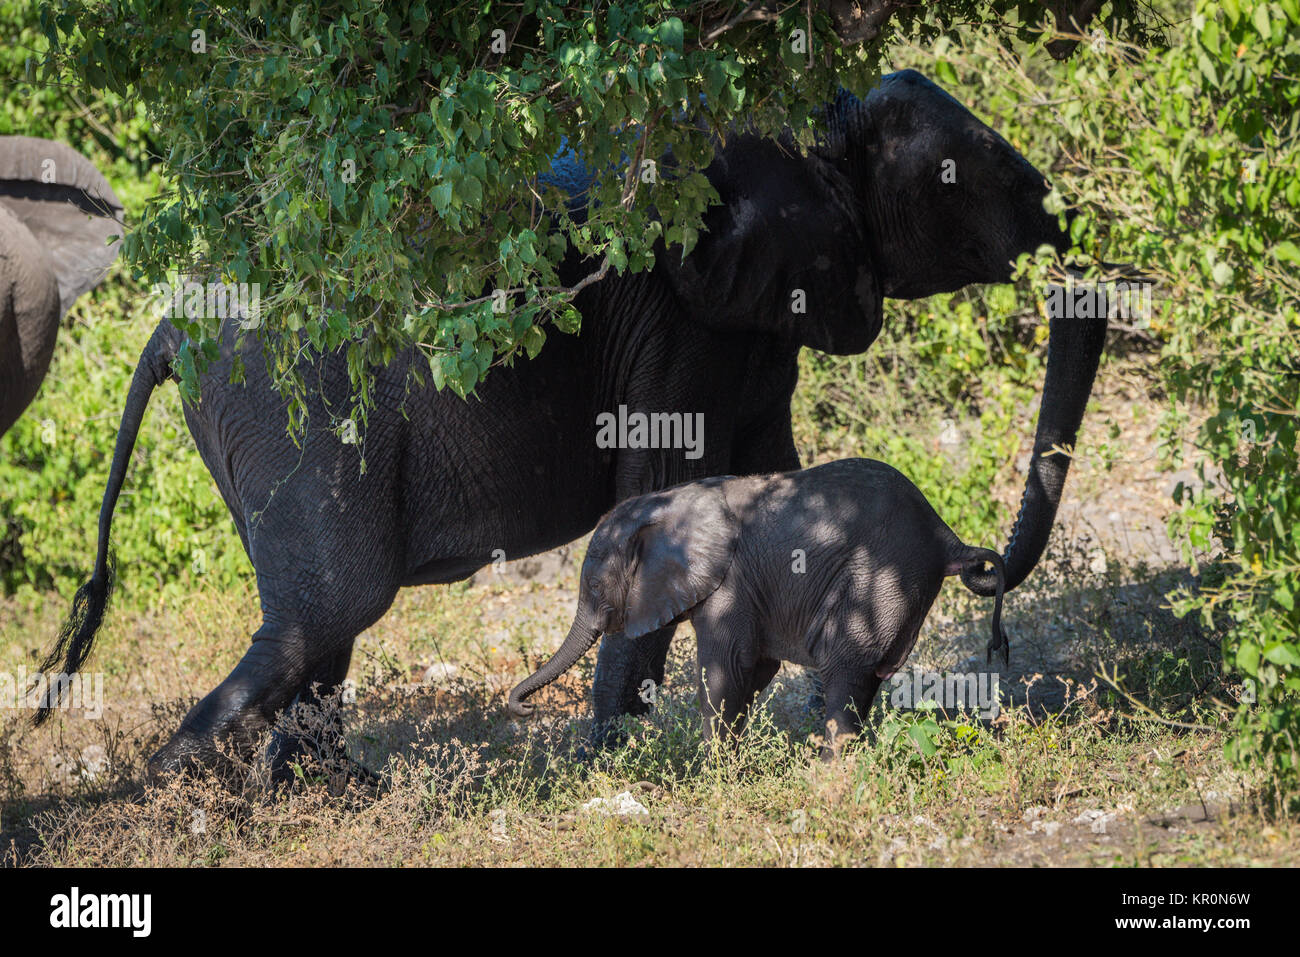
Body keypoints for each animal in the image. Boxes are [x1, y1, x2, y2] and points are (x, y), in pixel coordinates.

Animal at [507, 458, 1009, 750]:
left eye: (593, 586)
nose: (523, 709)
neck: (667, 502)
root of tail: (943, 534)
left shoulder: (731, 585)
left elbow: (725, 668)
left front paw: (713, 775)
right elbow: (753, 671)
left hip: (882, 573)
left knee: (846, 666)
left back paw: (827, 776)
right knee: (864, 676)